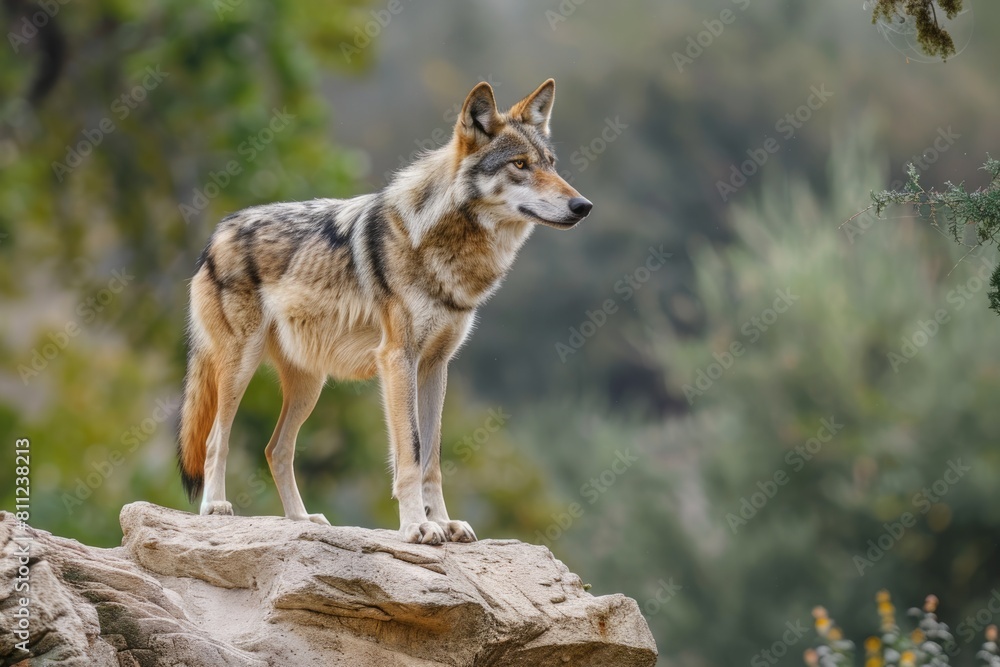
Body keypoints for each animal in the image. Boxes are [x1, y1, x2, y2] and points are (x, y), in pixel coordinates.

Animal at [177, 79, 592, 544]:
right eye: (520, 165)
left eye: (551, 165)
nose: (583, 206)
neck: (445, 247)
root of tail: (217, 234)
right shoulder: (398, 359)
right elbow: (410, 452)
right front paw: (417, 526)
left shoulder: (436, 365)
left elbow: (432, 459)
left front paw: (444, 522)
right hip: (240, 367)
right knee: (217, 439)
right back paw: (215, 506)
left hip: (310, 384)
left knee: (276, 448)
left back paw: (302, 521)